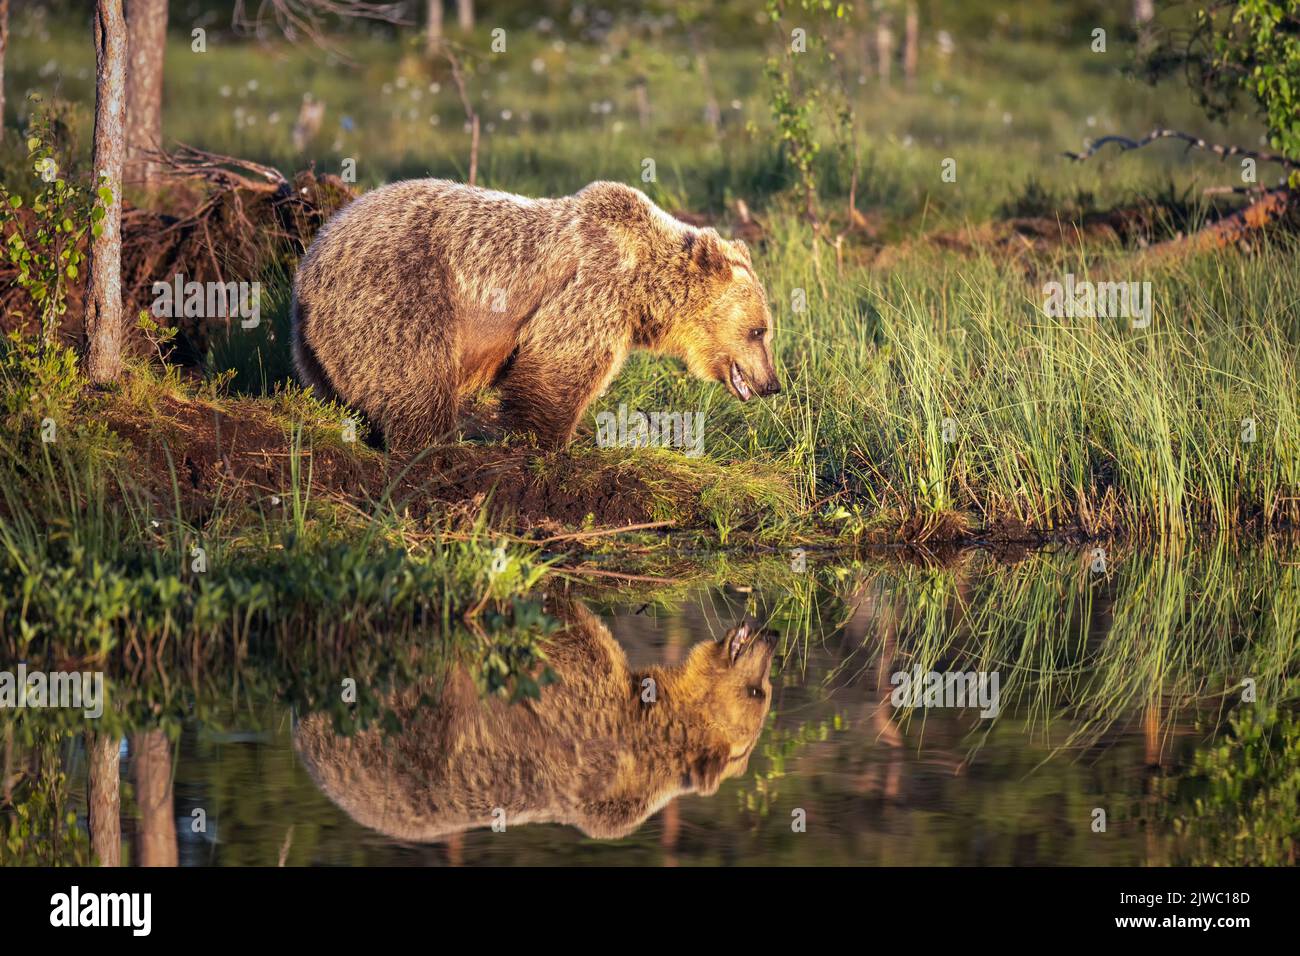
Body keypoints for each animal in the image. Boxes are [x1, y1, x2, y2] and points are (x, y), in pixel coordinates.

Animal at [290, 179, 781, 449]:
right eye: (759, 331)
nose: (772, 383)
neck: (645, 287)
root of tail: (308, 267)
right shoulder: (594, 287)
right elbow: (557, 365)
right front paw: (547, 438)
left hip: (322, 342)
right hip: (399, 286)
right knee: (414, 366)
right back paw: (435, 441)